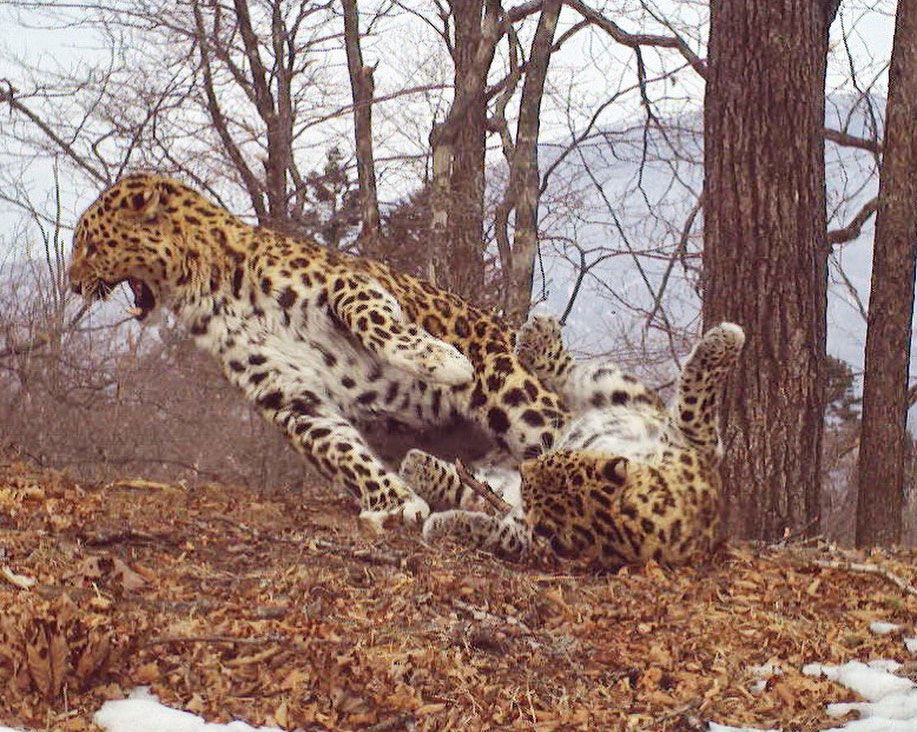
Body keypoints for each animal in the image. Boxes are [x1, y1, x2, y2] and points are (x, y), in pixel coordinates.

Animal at [68, 173, 569, 526]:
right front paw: (394, 502)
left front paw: (442, 360)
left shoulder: (344, 280)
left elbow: (371, 316)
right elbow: (338, 450)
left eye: (88, 244)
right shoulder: (286, 395)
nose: (72, 285)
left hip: (516, 392)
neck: (205, 291)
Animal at [399, 316, 745, 566]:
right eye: (562, 458)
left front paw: (446, 525)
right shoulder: (693, 447)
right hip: (617, 389)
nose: (526, 467)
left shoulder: (535, 539)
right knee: (577, 375)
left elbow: (496, 531)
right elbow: (694, 405)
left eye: (553, 464)